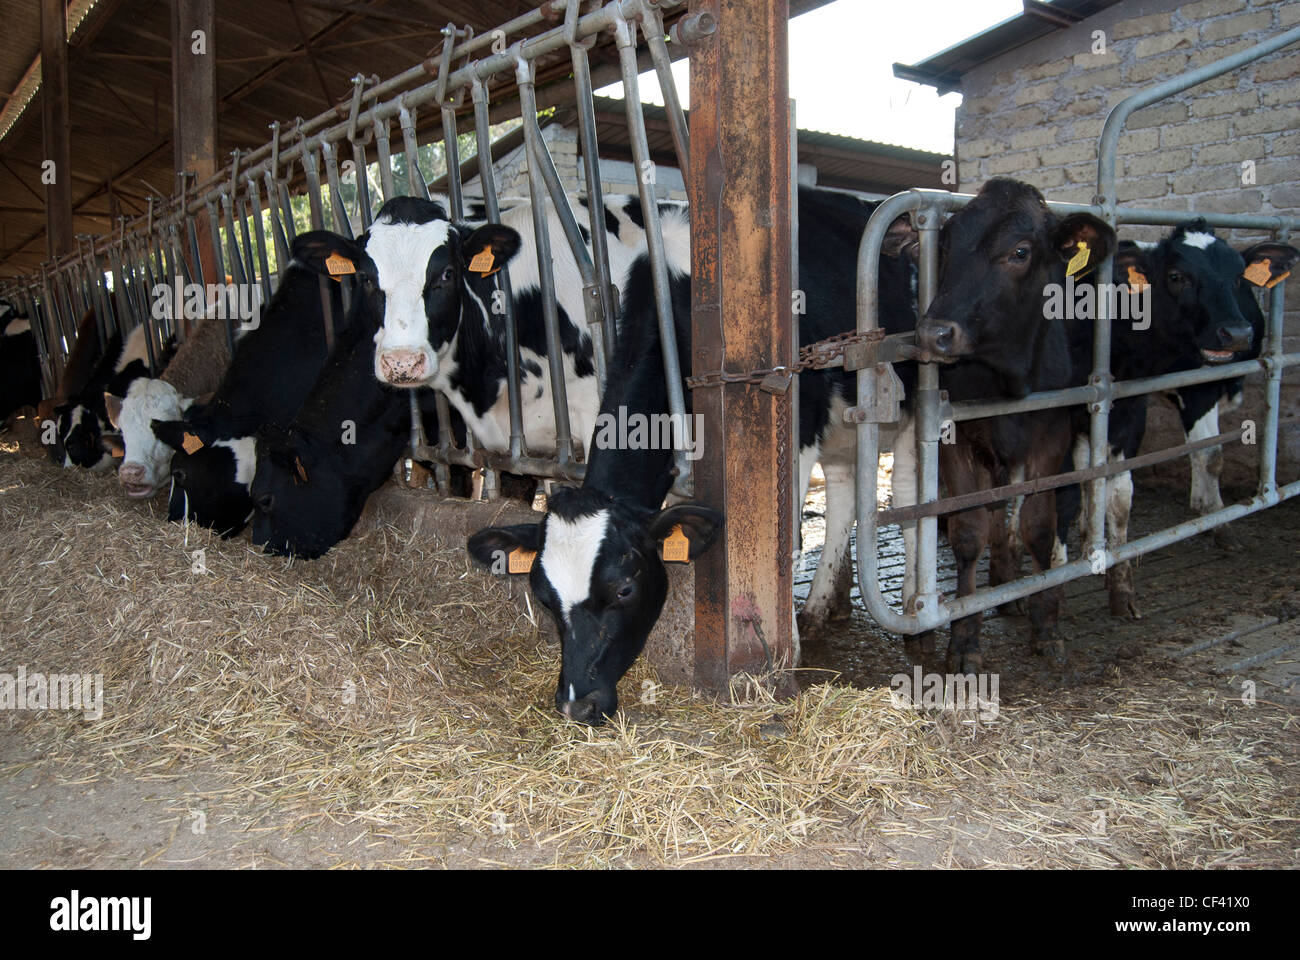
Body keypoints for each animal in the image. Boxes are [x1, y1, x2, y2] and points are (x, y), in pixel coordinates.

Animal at [467, 186, 920, 724]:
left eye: (625, 589)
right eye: (544, 596)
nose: (578, 704)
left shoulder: (798, 426)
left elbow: (785, 542)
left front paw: (784, 652)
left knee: (909, 495)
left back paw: (913, 606)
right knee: (845, 495)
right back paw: (818, 607)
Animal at [913, 178, 1116, 673]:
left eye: (1020, 251)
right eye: (944, 247)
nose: (933, 334)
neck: (1009, 377)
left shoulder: (1052, 432)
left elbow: (1038, 526)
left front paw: (1046, 626)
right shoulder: (955, 438)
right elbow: (970, 532)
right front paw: (965, 638)